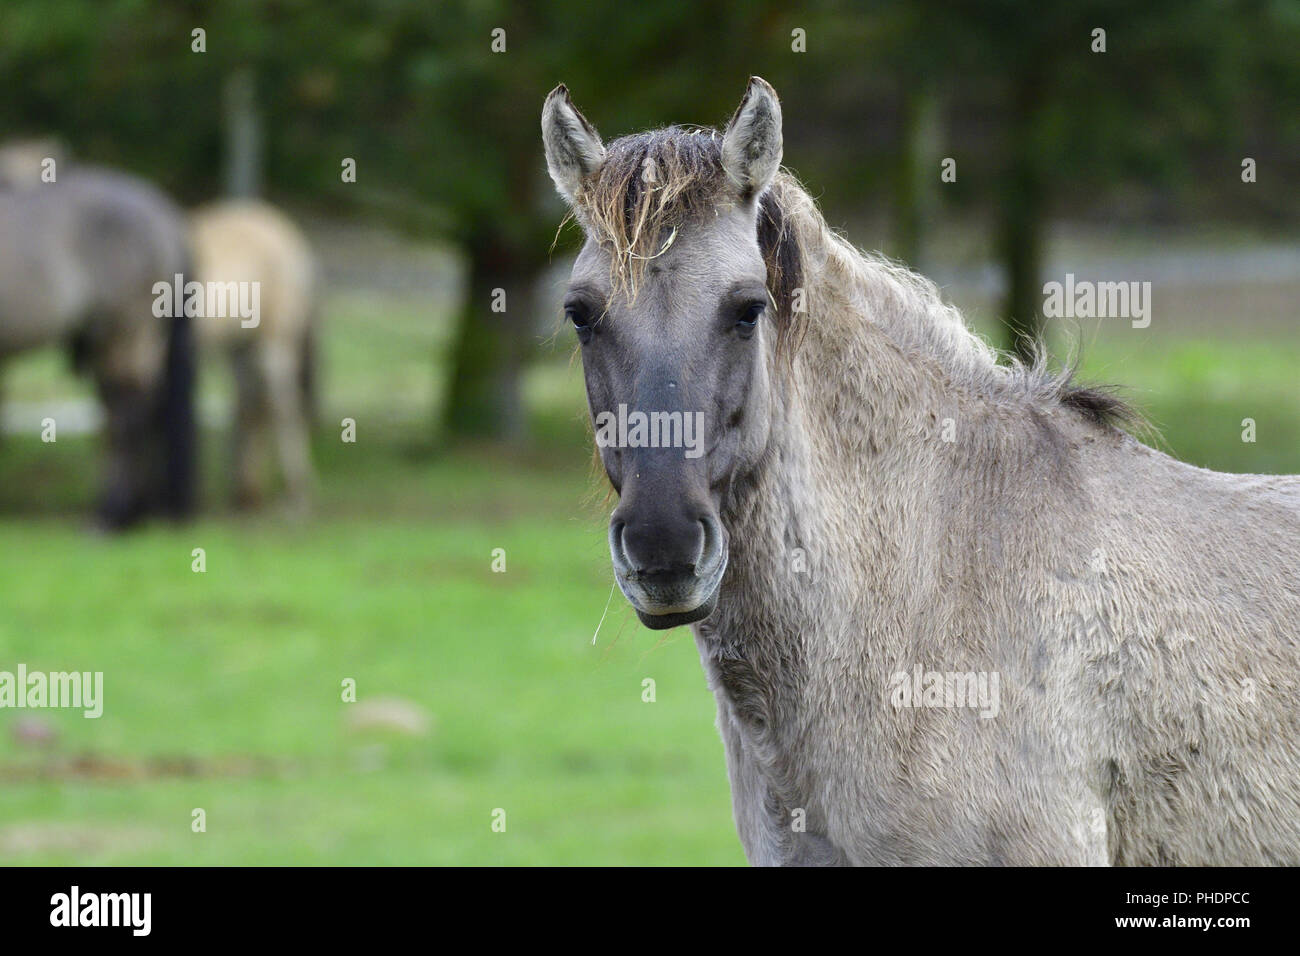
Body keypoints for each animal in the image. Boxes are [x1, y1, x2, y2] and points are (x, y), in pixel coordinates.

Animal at [189, 200, 317, 512]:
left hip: (274, 347)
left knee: (283, 407)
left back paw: (296, 496)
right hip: (243, 350)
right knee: (253, 407)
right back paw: (246, 494)